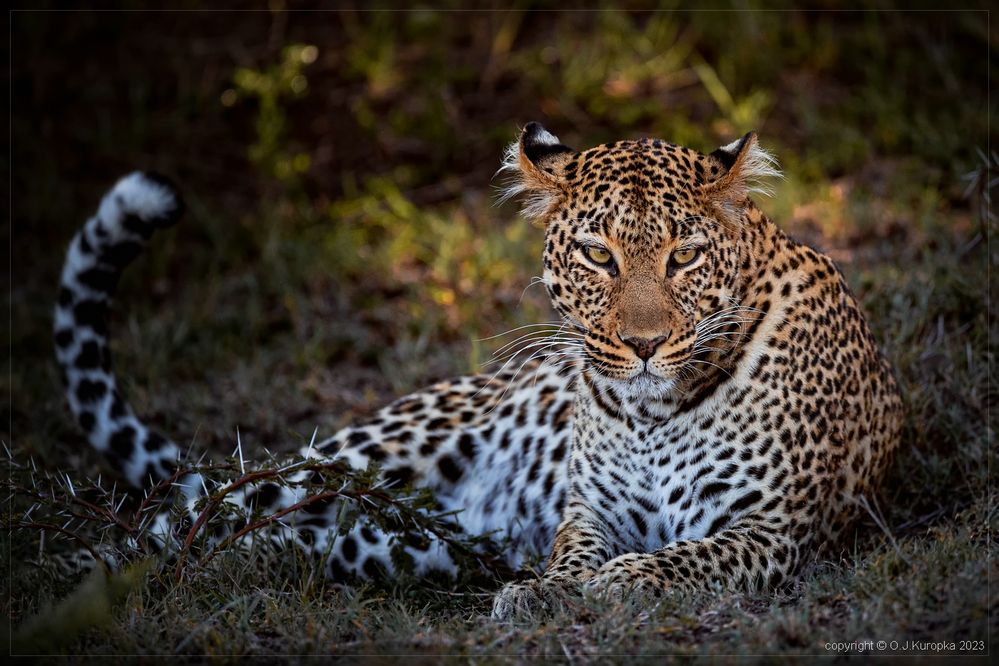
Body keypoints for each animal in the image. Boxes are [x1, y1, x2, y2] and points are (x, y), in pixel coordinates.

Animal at [52, 122, 903, 620]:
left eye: (685, 257)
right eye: (598, 255)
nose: (644, 344)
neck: (652, 415)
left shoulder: (772, 527)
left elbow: (689, 556)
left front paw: (618, 583)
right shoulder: (591, 512)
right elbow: (576, 551)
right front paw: (552, 589)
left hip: (389, 543)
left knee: (239, 542)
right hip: (362, 457)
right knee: (183, 519)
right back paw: (71, 582)